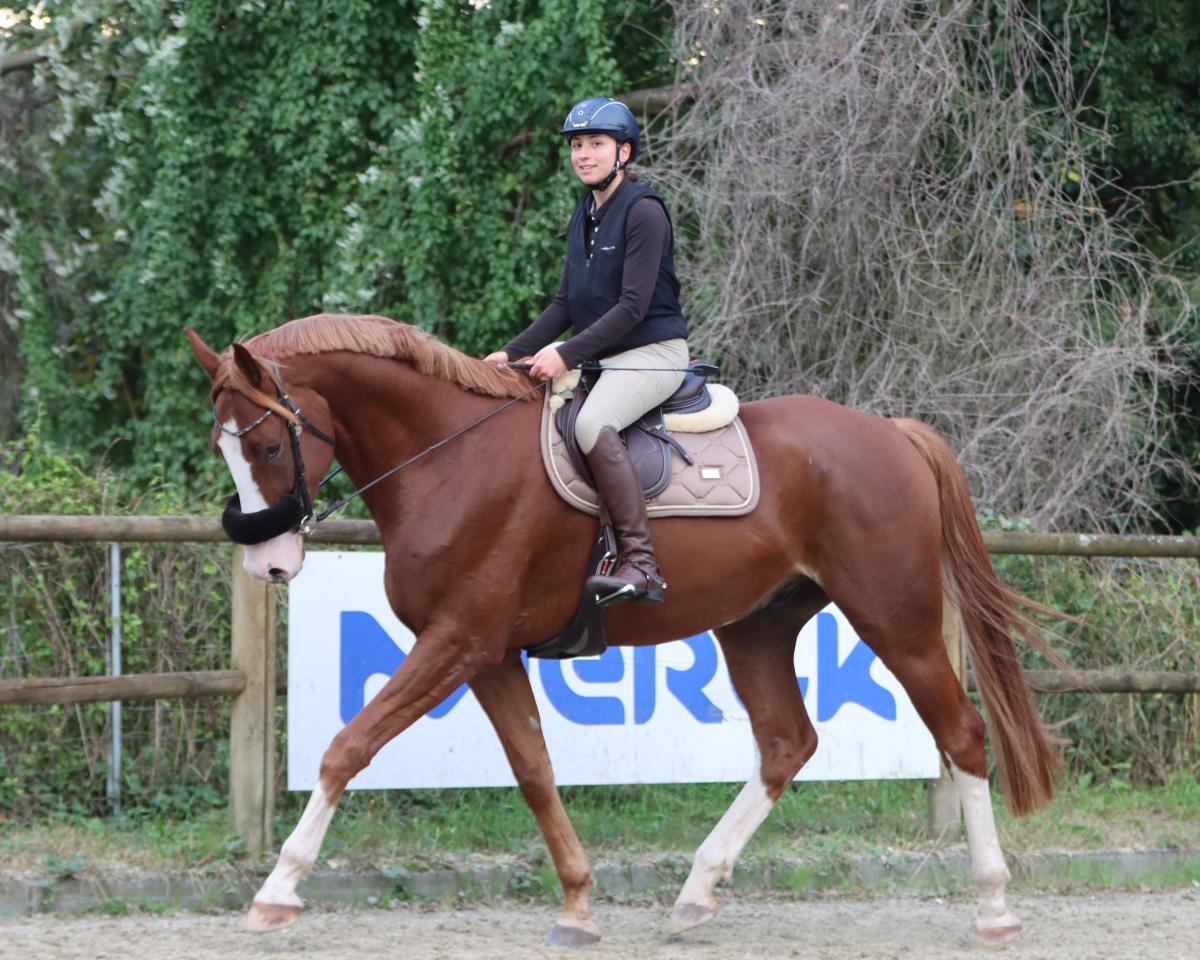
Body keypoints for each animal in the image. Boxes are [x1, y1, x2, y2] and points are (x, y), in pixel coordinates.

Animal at [187, 312, 1058, 946]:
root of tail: (891, 433)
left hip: (894, 617)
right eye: (221, 446)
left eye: (268, 443)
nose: (267, 564)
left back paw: (994, 906)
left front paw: (278, 889)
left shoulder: (456, 641)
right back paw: (697, 891)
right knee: (786, 742)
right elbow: (535, 773)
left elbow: (348, 746)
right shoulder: (488, 654)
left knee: (960, 733)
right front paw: (577, 905)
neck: (448, 460)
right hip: (756, 627)